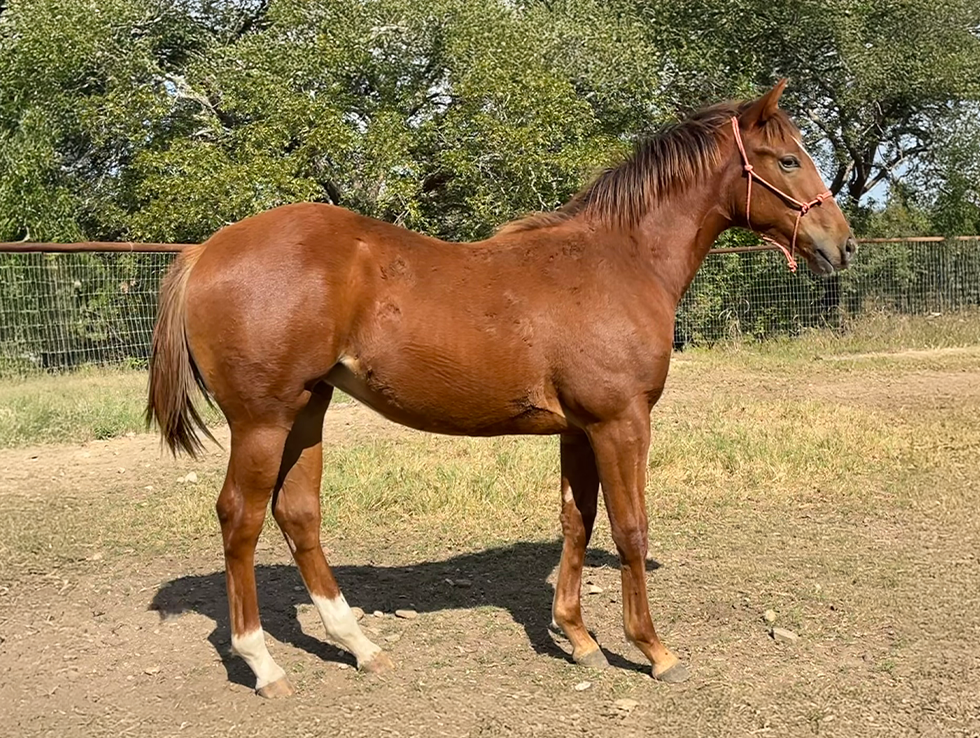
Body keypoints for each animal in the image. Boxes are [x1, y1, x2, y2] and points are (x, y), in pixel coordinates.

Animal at [146, 79, 856, 697]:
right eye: (788, 159)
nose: (842, 244)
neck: (619, 261)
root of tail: (206, 251)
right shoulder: (620, 423)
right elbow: (630, 529)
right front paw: (654, 650)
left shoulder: (578, 430)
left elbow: (576, 520)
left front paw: (579, 638)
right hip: (262, 420)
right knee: (240, 518)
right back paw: (263, 664)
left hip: (307, 410)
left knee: (298, 514)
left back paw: (361, 647)